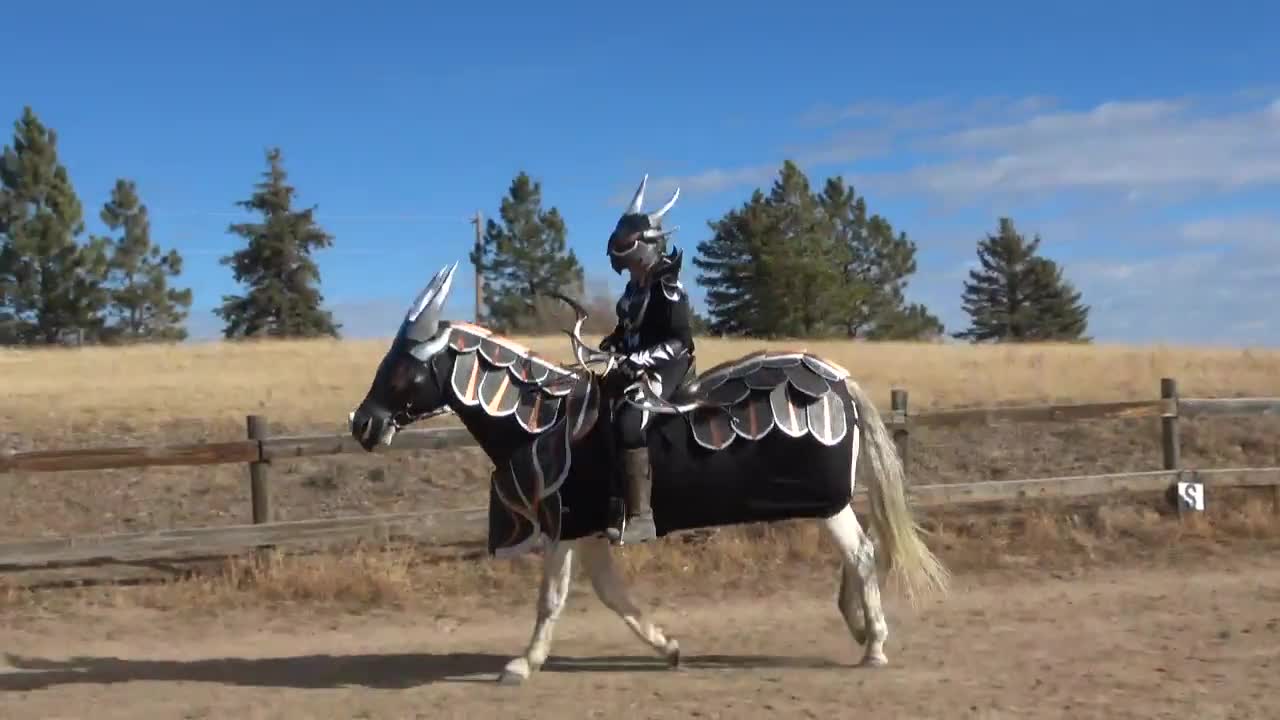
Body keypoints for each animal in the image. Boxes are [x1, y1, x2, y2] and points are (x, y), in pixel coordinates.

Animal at [347, 261, 949, 685]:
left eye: (401, 369)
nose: (363, 425)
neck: (544, 418)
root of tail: (838, 378)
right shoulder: (588, 531)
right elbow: (612, 594)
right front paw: (669, 647)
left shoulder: (566, 527)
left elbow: (552, 599)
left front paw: (522, 664)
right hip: (829, 504)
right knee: (861, 553)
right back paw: (858, 623)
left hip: (828, 504)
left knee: (863, 554)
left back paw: (874, 644)